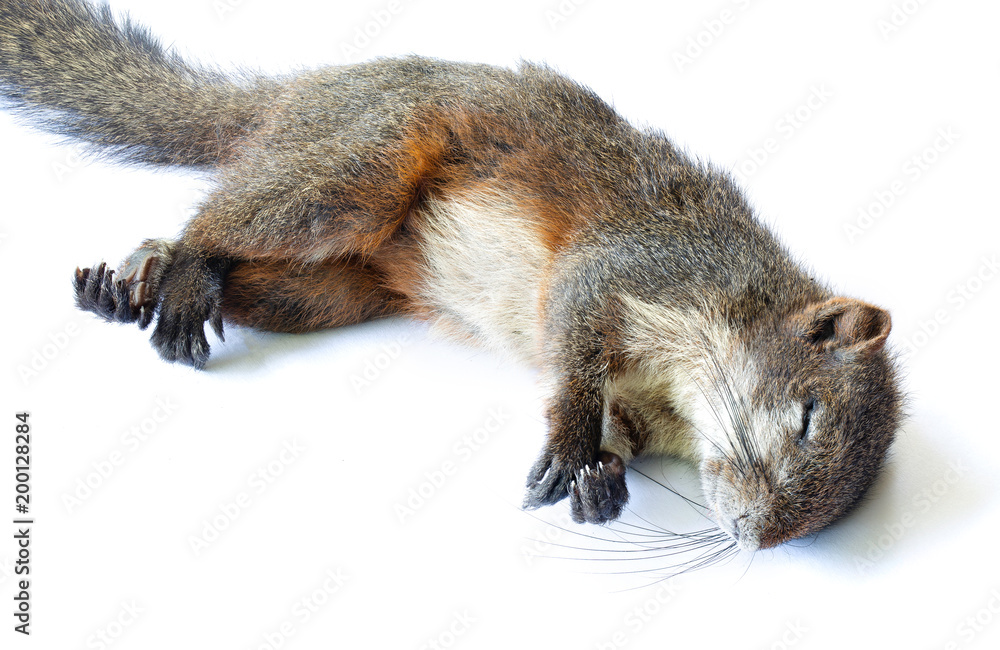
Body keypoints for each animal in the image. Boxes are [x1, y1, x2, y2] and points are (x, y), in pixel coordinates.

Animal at [0, 0, 903, 551]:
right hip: (356, 168)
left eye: (834, 516)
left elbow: (614, 427)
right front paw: (570, 446)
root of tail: (304, 95)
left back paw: (137, 278)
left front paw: (602, 479)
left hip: (327, 289)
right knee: (224, 221)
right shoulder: (637, 262)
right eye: (810, 418)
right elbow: (575, 338)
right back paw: (177, 274)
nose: (756, 536)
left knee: (248, 271)